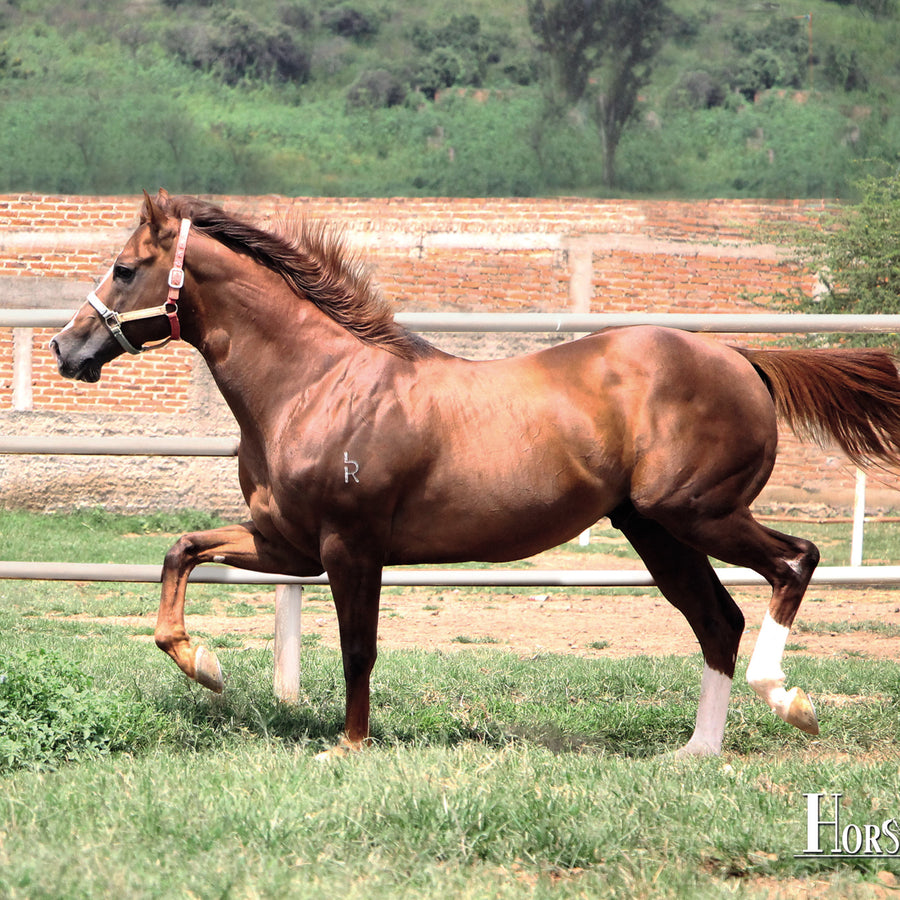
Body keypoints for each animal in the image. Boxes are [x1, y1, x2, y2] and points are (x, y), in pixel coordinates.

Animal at [50, 190, 900, 757]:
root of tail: (742, 358)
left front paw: (348, 746)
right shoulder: (285, 543)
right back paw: (695, 753)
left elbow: (358, 648)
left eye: (125, 268)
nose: (66, 348)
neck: (317, 384)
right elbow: (181, 550)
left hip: (697, 511)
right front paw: (207, 666)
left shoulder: (350, 546)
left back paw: (790, 702)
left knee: (795, 561)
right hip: (657, 529)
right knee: (716, 619)